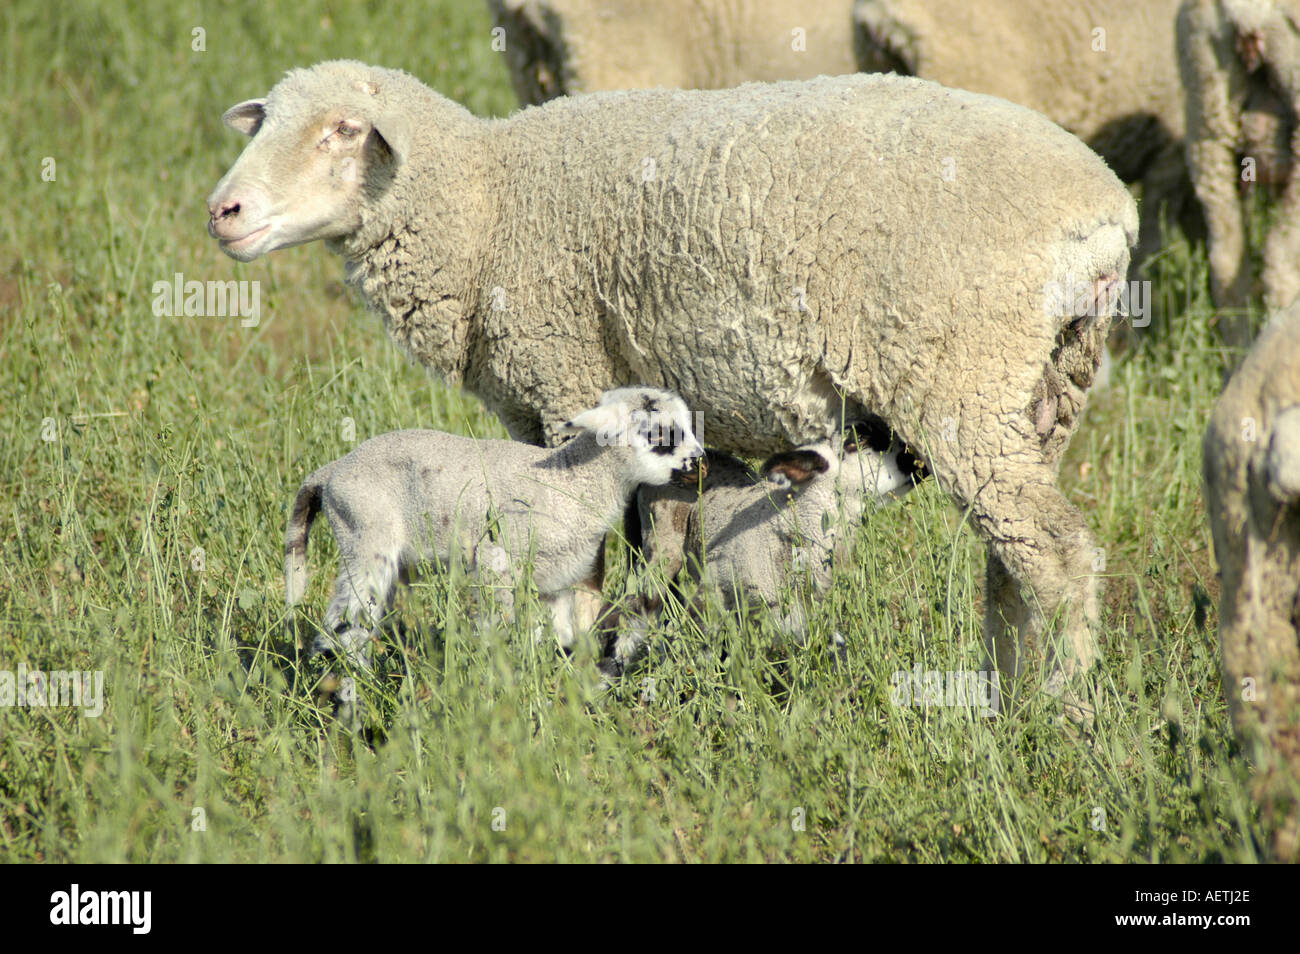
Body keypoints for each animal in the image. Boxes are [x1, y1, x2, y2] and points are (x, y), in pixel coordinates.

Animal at [285, 385, 703, 720]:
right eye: (662, 434)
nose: (701, 461)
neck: (570, 482)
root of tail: (330, 473)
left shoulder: (557, 578)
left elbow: (561, 638)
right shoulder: (496, 562)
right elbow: (496, 631)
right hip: (365, 533)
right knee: (345, 625)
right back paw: (358, 696)